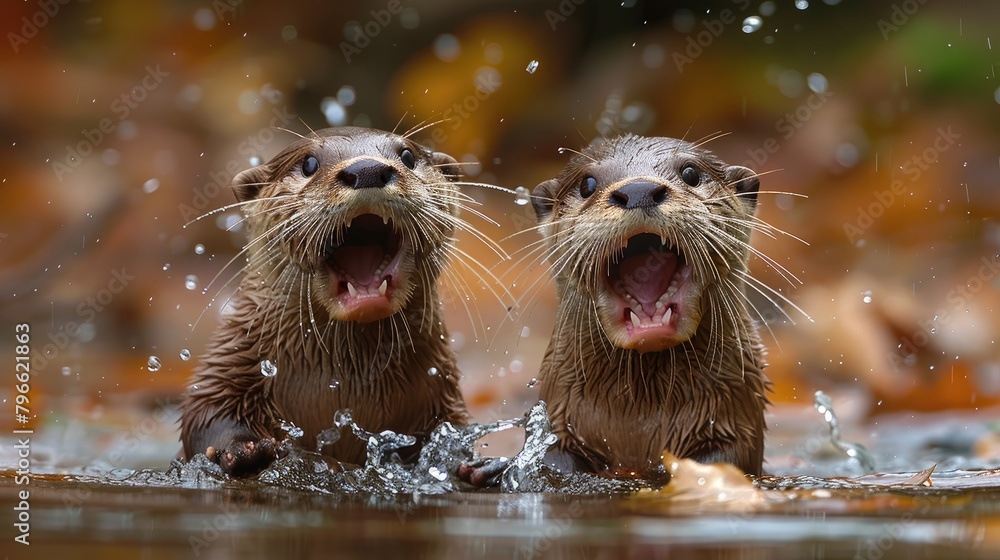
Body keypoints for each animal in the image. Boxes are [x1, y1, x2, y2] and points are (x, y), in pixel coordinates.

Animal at [179, 127, 472, 476]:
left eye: (408, 156)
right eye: (309, 164)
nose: (367, 169)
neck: (346, 385)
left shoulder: (443, 391)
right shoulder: (229, 365)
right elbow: (205, 416)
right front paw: (243, 450)